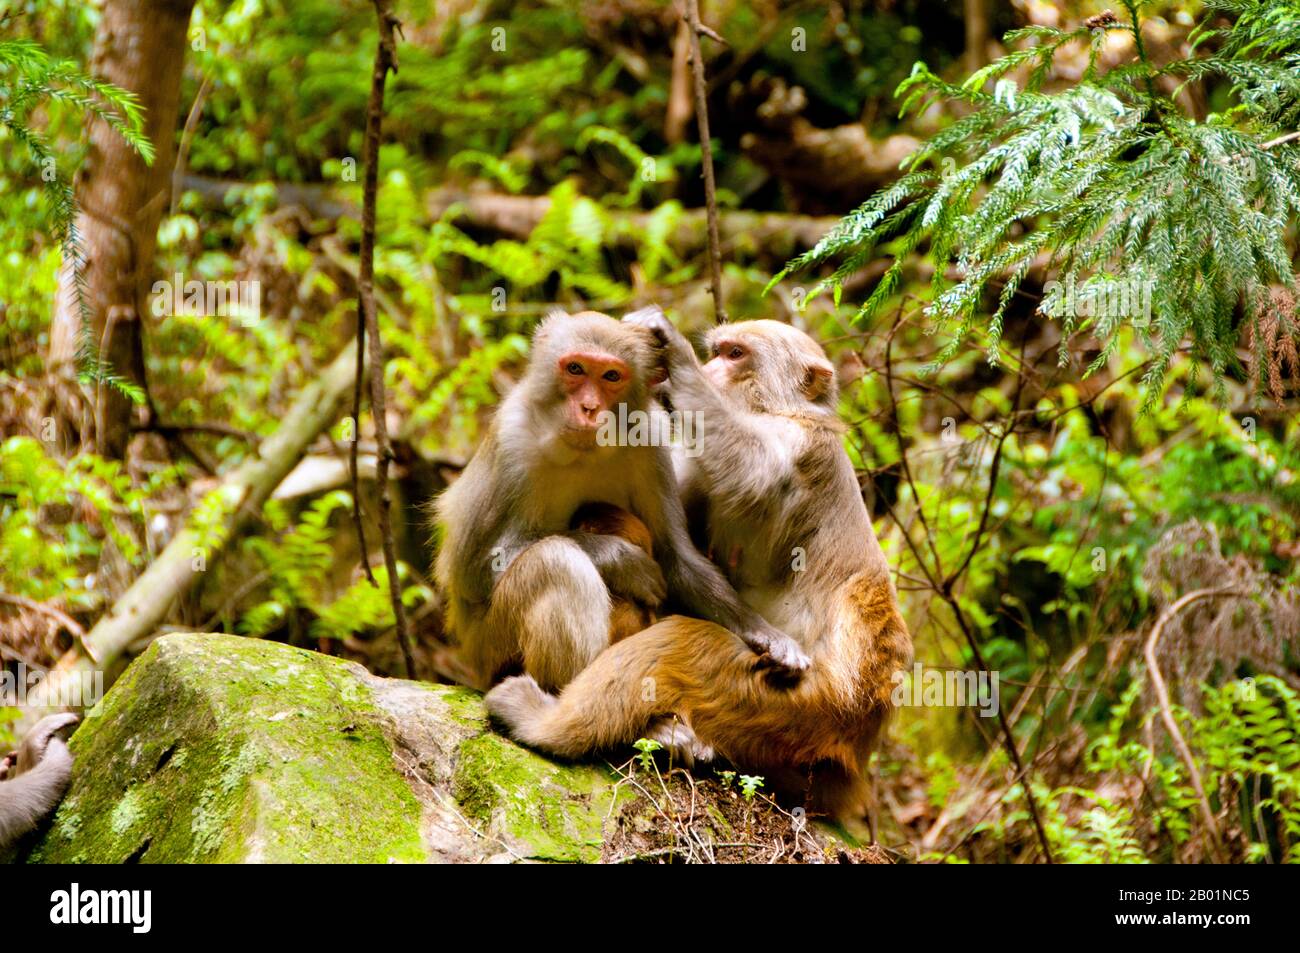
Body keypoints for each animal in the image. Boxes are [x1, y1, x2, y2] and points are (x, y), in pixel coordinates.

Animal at [434, 308, 811, 694]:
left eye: (611, 376)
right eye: (575, 369)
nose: (588, 408)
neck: (582, 451)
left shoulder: (651, 441)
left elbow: (675, 556)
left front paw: (763, 633)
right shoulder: (510, 440)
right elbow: (473, 571)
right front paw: (622, 560)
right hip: (492, 650)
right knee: (554, 562)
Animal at [485, 314, 912, 820]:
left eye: (735, 355)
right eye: (720, 351)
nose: (707, 372)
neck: (778, 413)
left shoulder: (807, 447)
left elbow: (754, 472)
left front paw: (674, 353)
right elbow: (679, 555)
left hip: (804, 705)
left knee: (677, 645)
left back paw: (547, 724)